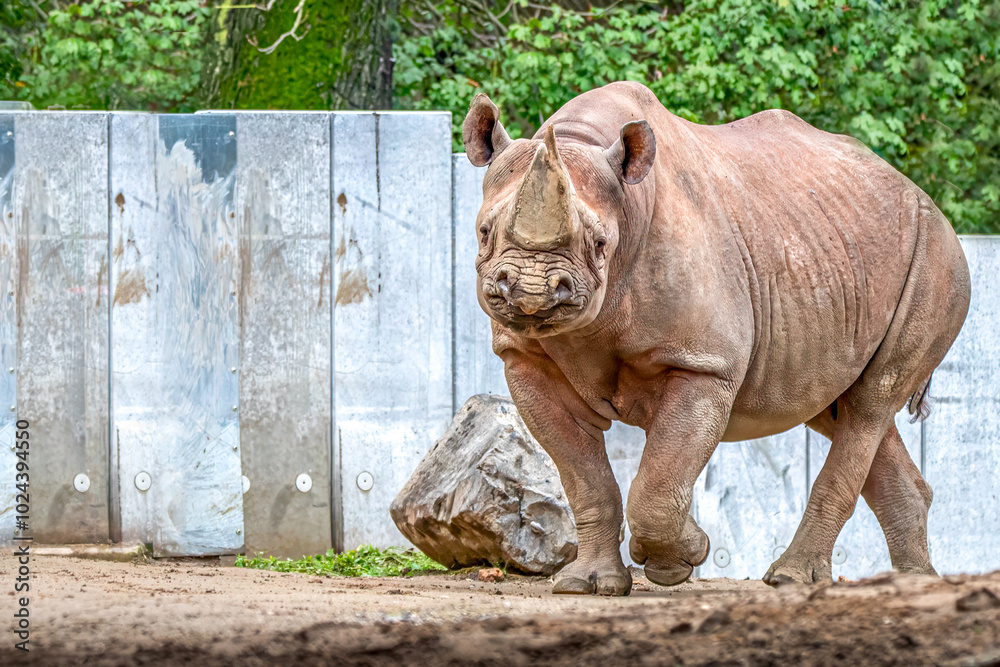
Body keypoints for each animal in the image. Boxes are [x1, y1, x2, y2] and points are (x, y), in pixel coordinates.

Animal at [462, 81, 970, 595]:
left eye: (600, 244)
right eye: (483, 233)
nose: (532, 293)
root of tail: (922, 196)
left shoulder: (703, 363)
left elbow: (657, 485)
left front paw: (681, 558)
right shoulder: (525, 359)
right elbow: (584, 479)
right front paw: (587, 583)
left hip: (936, 258)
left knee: (870, 403)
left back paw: (790, 578)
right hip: (838, 247)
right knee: (840, 406)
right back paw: (916, 585)